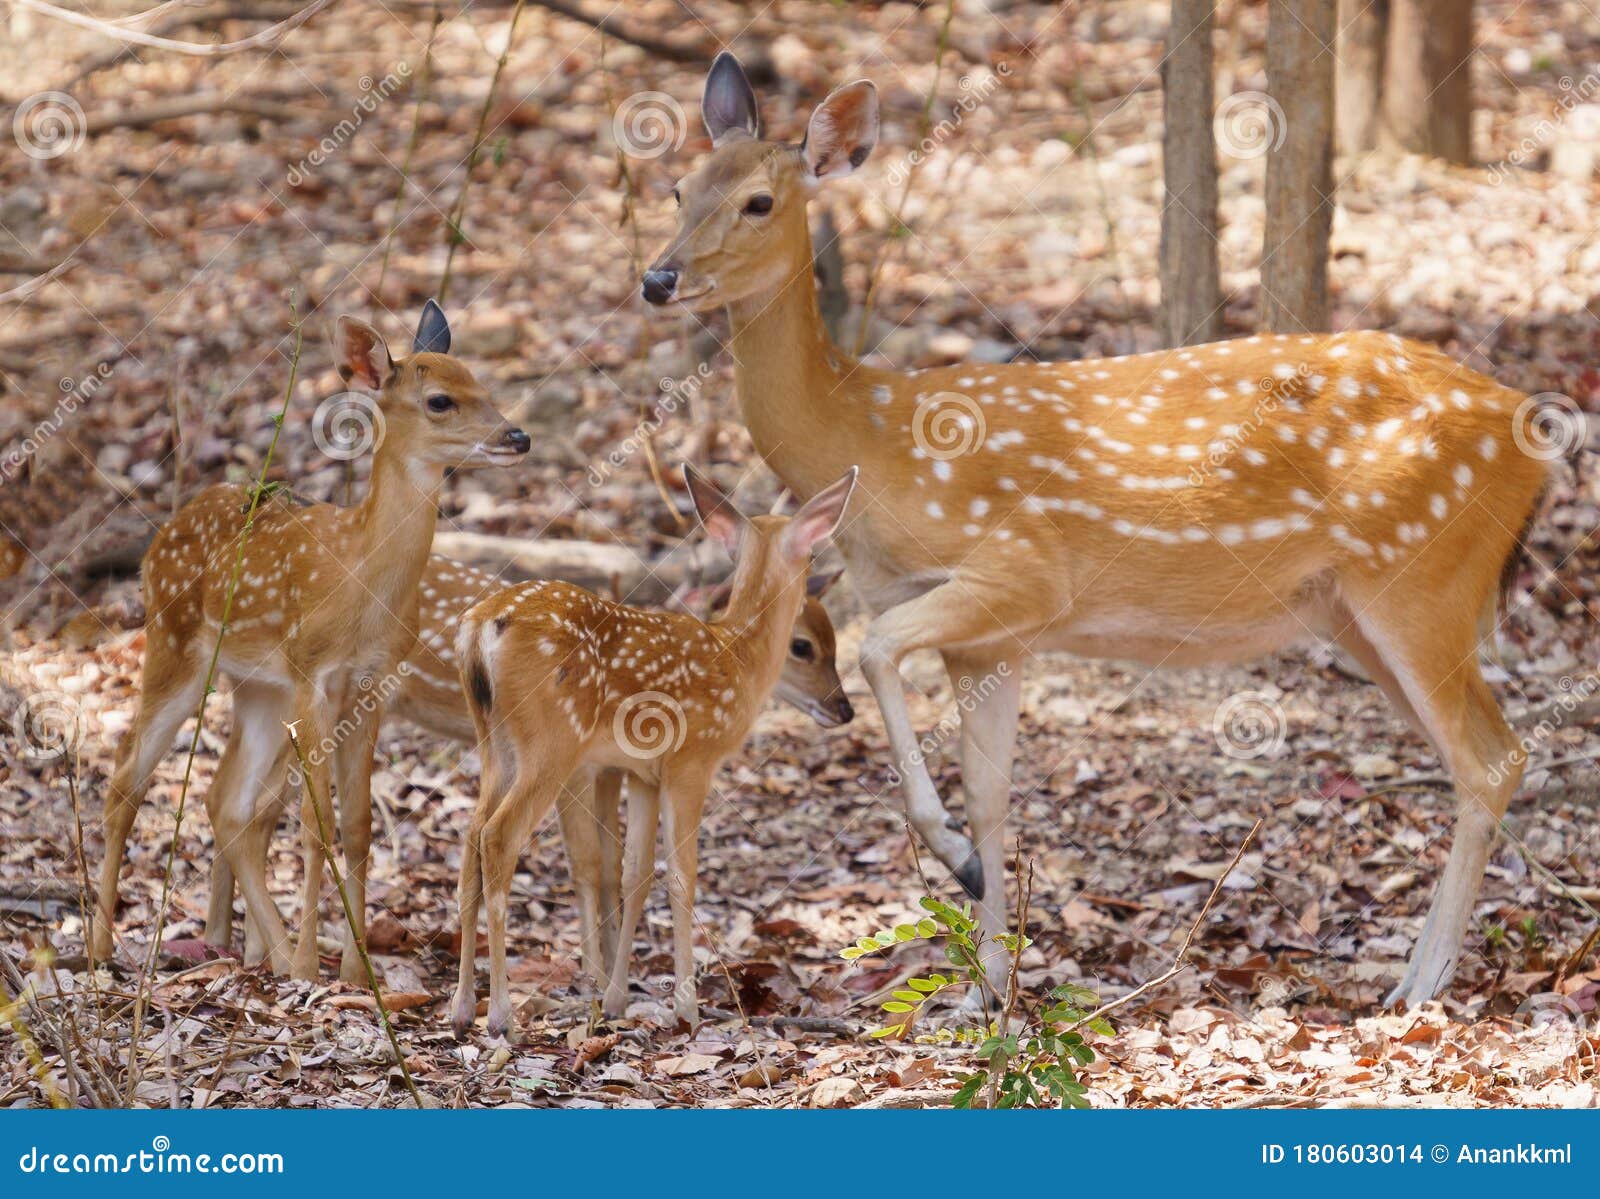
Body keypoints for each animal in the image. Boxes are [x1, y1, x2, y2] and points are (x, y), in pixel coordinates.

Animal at [92, 301, 530, 984]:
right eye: (439, 400)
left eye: (482, 384)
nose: (518, 437)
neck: (359, 583)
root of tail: (162, 532)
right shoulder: (312, 674)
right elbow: (314, 825)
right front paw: (309, 965)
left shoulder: (371, 683)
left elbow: (357, 825)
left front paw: (353, 971)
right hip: (174, 644)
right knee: (126, 778)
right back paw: (103, 948)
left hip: (256, 687)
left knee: (226, 801)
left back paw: (254, 951)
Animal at [200, 553, 855, 995]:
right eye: (803, 646)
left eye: (834, 639)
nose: (844, 708)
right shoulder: (594, 766)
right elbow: (594, 862)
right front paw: (602, 982)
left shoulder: (613, 769)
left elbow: (613, 864)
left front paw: (609, 976)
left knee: (241, 802)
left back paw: (244, 950)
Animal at [451, 465, 857, 1036]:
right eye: (806, 646)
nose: (845, 710)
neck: (738, 659)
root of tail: (481, 626)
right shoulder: (692, 762)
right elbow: (682, 878)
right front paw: (687, 1008)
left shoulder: (643, 774)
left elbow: (633, 873)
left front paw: (617, 999)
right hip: (551, 742)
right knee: (498, 836)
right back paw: (500, 1014)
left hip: (493, 740)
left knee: (470, 837)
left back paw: (461, 1007)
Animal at [639, 53, 1551, 1008]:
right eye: (677, 189)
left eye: (758, 202)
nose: (657, 279)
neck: (872, 437)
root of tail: (1533, 431)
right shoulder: (992, 640)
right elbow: (991, 794)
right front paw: (984, 987)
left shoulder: (1023, 572)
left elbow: (879, 650)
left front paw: (956, 867)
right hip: (1358, 609)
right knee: (1481, 759)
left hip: (1424, 579)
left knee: (1494, 757)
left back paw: (1421, 985)